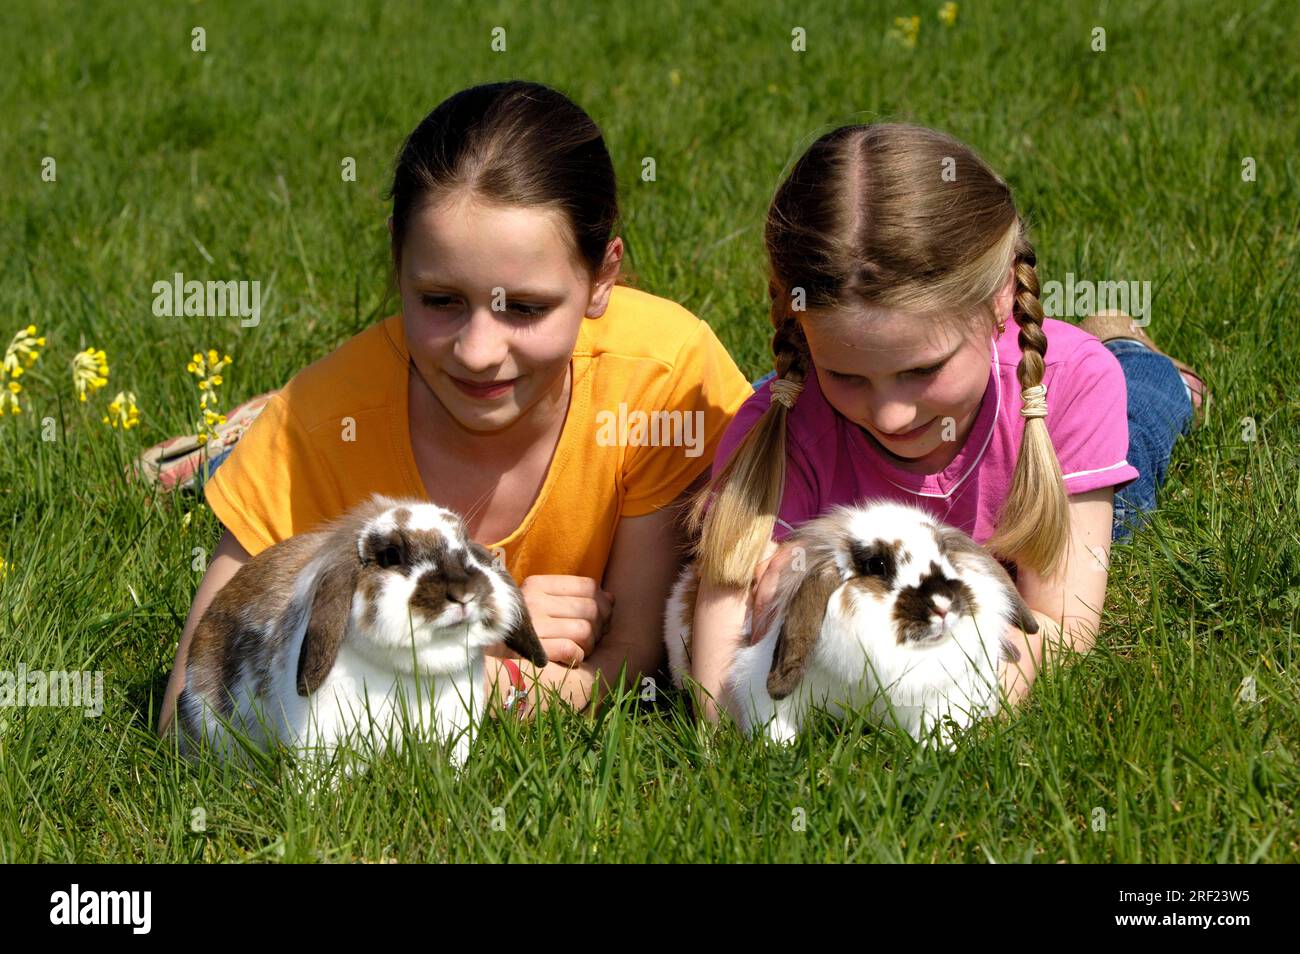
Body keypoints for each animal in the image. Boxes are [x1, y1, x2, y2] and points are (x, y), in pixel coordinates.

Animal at [664, 500, 1037, 749]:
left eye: (944, 554)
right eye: (878, 565)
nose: (943, 605)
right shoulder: (762, 693)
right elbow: (776, 727)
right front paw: (780, 754)